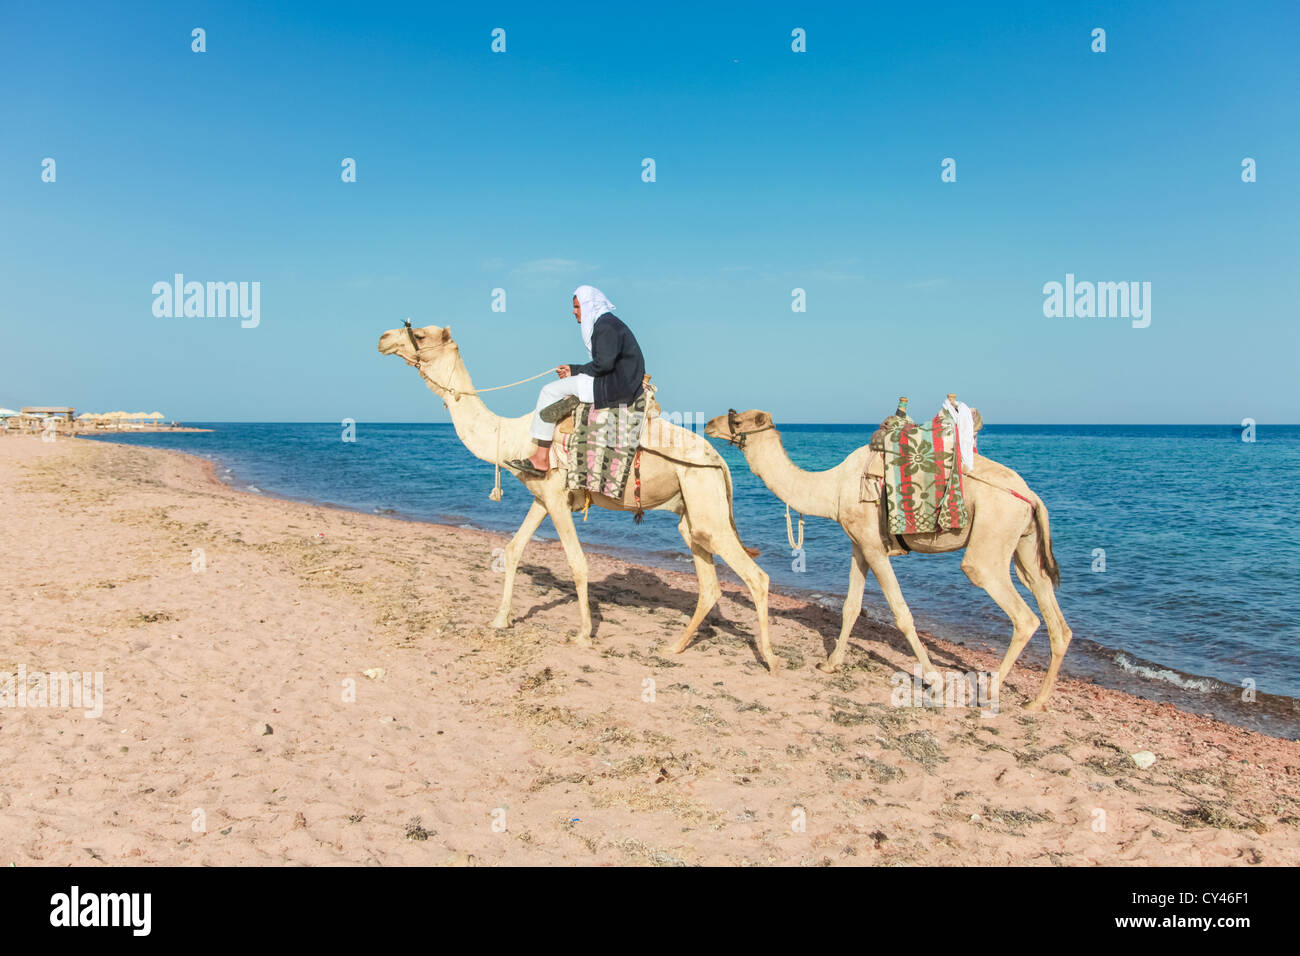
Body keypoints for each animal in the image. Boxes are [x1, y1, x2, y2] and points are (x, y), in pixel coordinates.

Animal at [377, 324, 776, 669]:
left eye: (420, 334)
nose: (383, 338)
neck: (512, 437)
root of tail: (719, 460)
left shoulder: (555, 497)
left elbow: (577, 562)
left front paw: (583, 634)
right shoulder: (541, 497)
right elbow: (513, 549)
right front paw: (500, 619)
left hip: (705, 500)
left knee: (756, 577)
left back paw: (770, 659)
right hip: (693, 512)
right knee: (709, 584)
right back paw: (674, 646)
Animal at [705, 409, 1073, 710]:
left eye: (738, 420)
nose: (709, 424)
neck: (833, 489)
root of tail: (1032, 496)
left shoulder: (874, 547)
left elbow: (902, 614)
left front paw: (935, 681)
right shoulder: (859, 546)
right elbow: (851, 607)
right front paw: (830, 664)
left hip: (990, 542)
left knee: (1022, 615)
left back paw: (989, 692)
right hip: (1024, 545)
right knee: (1053, 614)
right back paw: (1036, 702)